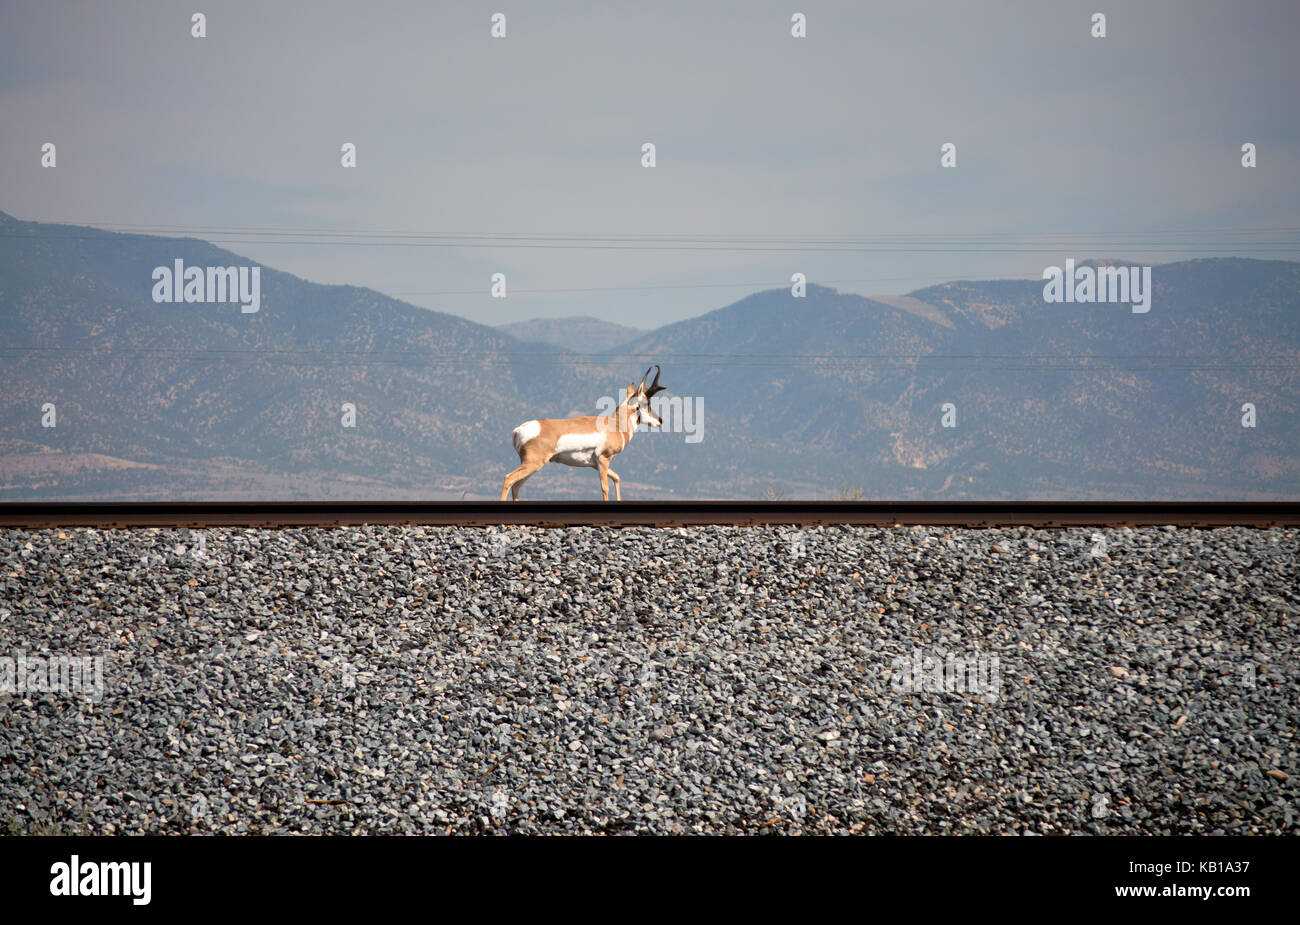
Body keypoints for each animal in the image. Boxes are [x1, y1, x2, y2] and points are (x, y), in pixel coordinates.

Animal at [501, 366, 667, 501]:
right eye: (646, 403)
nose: (660, 420)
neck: (615, 424)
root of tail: (519, 430)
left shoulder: (595, 465)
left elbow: (617, 478)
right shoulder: (603, 460)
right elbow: (605, 488)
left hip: (530, 466)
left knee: (516, 486)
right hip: (533, 463)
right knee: (509, 479)